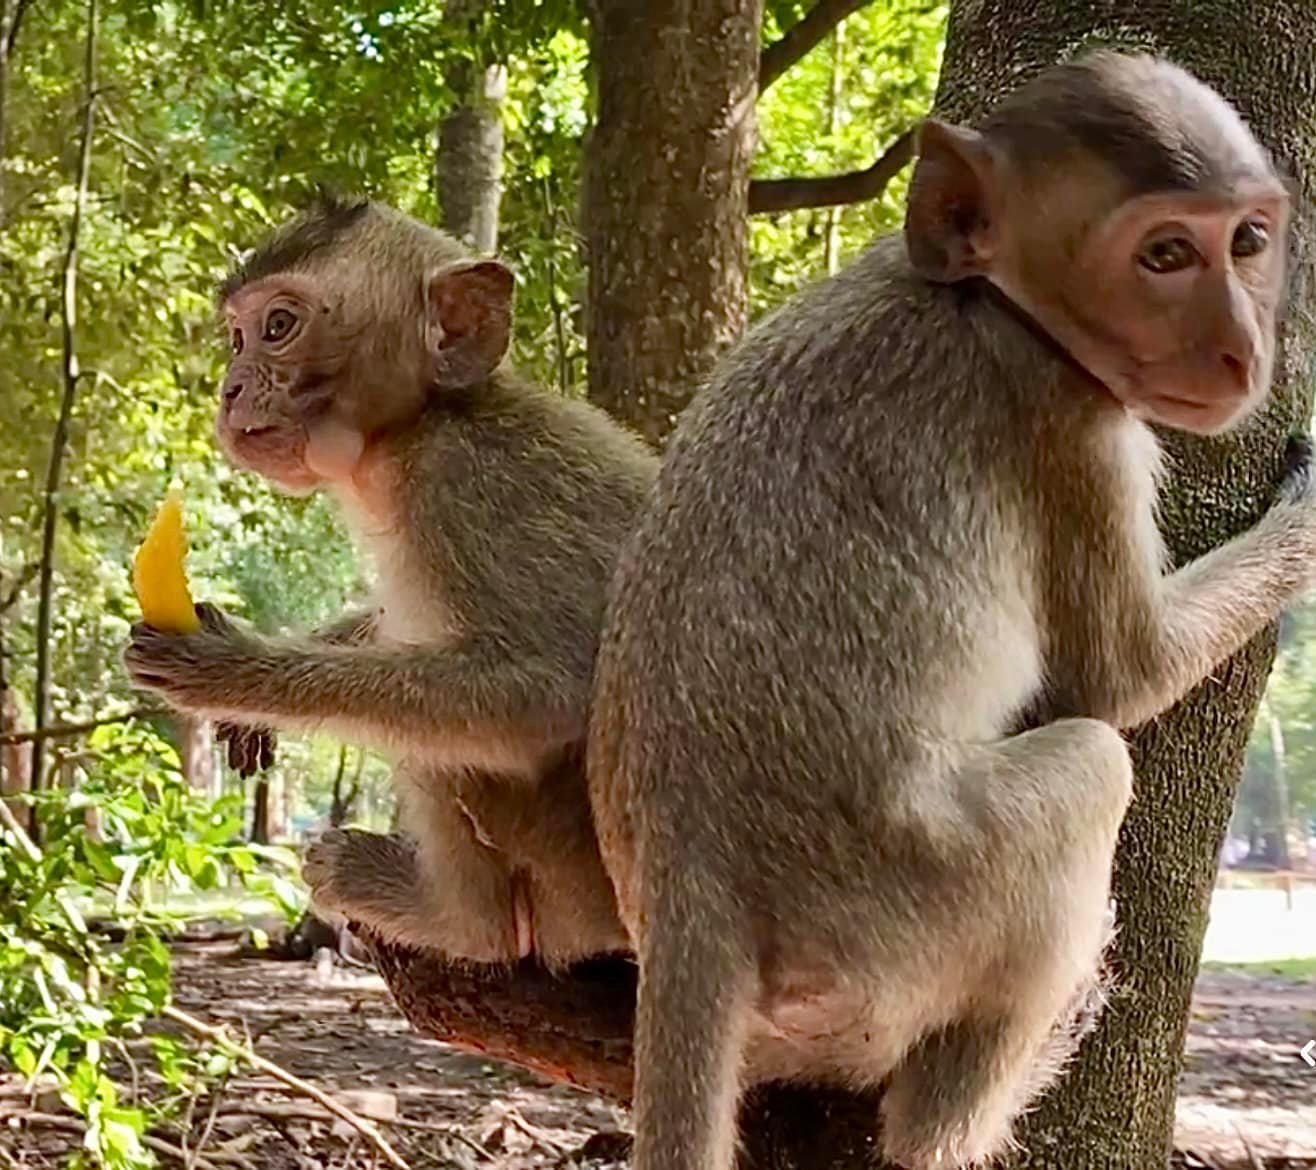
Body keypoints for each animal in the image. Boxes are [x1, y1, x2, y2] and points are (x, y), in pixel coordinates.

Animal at [124, 198, 657, 967]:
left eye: (278, 328)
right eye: (236, 338)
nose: (230, 387)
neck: (415, 427)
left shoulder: (464, 485)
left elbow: (548, 693)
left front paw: (234, 674)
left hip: (580, 885)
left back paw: (454, 920)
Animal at [587, 52, 1314, 1170]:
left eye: (1246, 240)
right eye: (1162, 255)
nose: (1241, 350)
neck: (984, 298)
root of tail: (686, 896)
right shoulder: (1069, 422)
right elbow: (1122, 677)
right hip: (910, 905)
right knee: (1092, 764)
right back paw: (993, 1090)